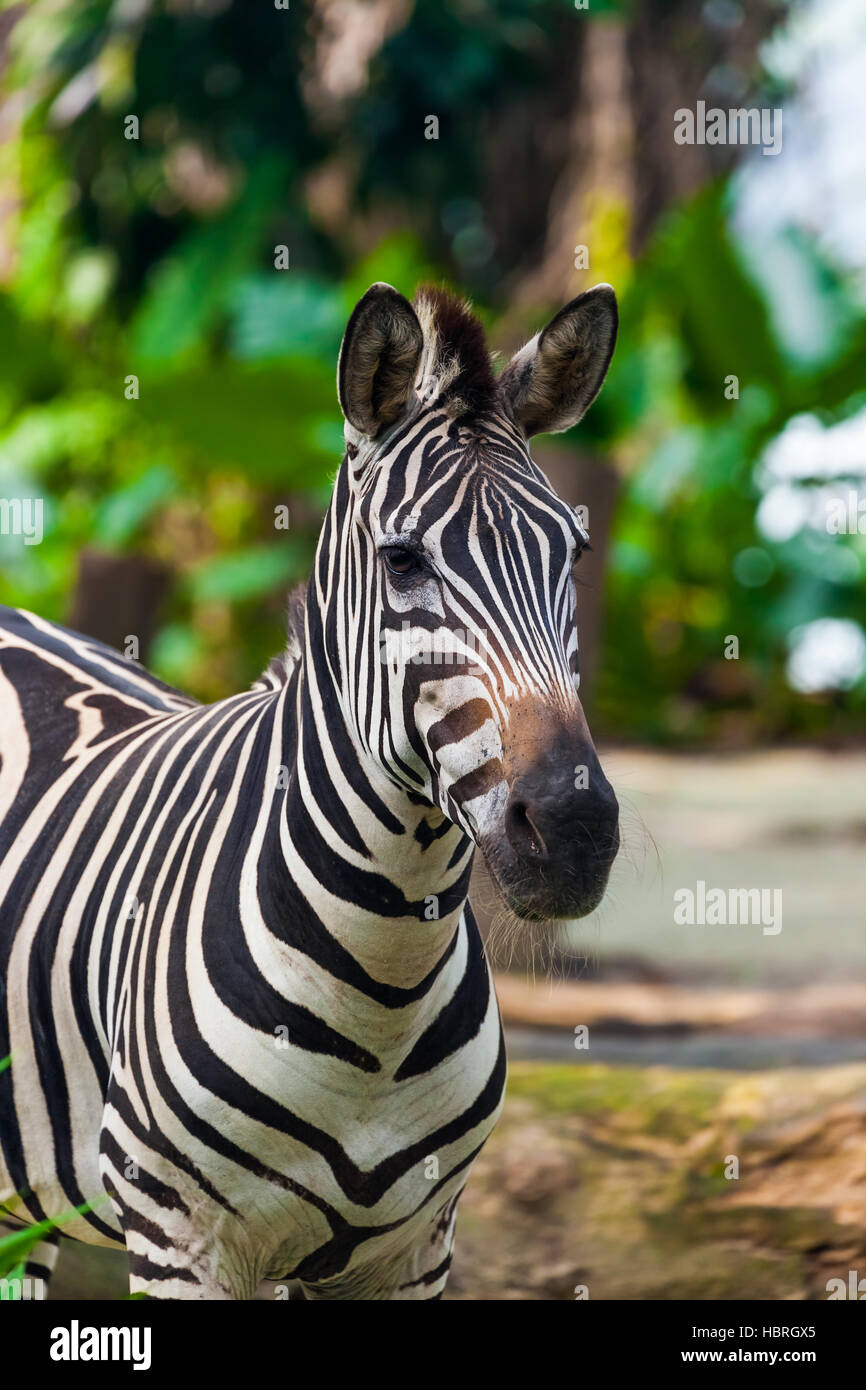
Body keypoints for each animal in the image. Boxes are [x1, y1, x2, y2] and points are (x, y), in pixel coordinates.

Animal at [0, 281, 620, 1300]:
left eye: (571, 553)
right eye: (403, 561)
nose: (572, 829)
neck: (383, 984)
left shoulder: (412, 1253)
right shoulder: (177, 1237)